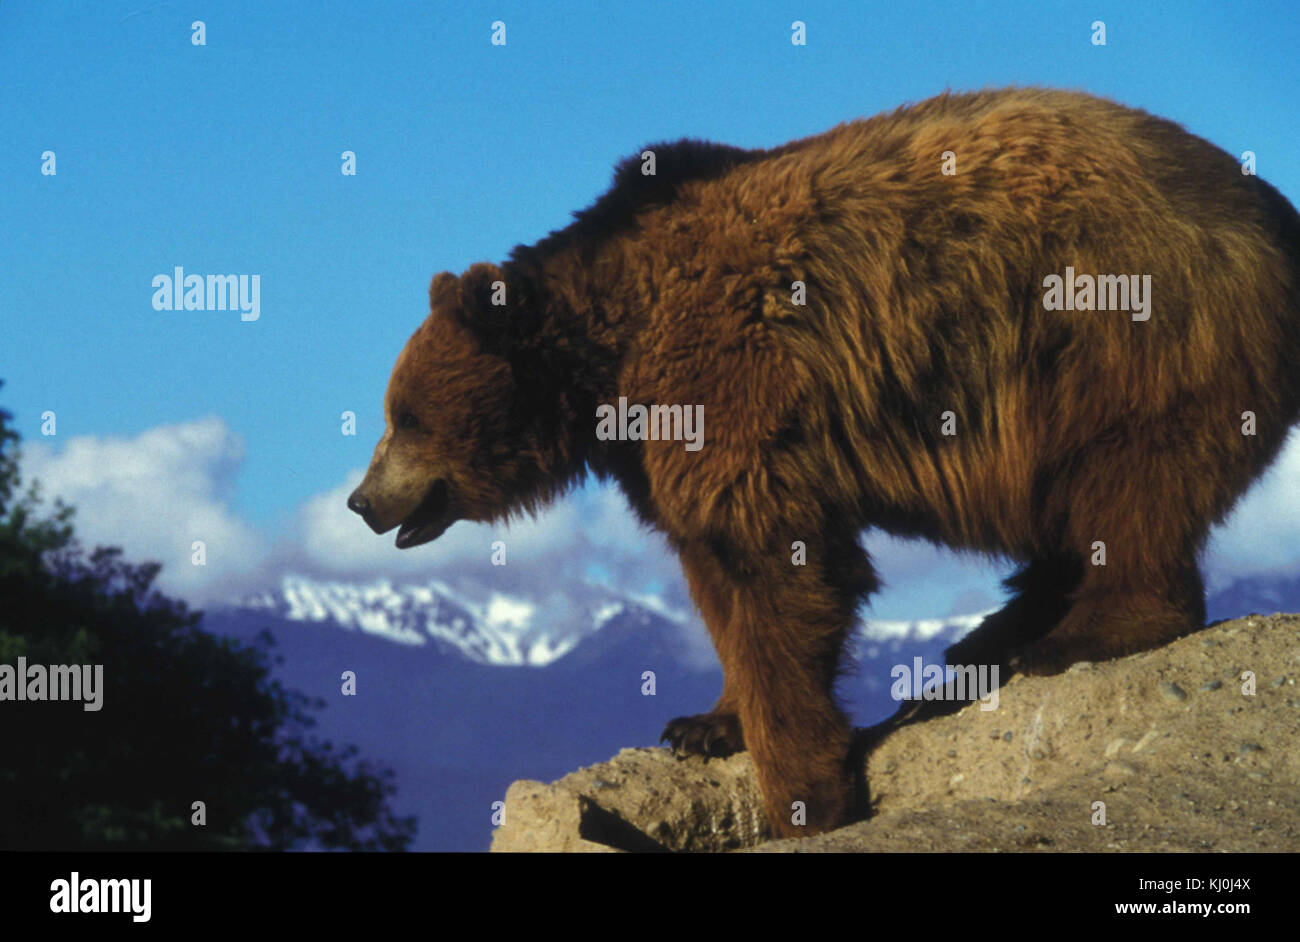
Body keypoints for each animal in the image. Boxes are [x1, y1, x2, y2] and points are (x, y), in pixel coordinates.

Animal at [348, 87, 1300, 840]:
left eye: (404, 417)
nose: (361, 501)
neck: (604, 358)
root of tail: (1271, 213)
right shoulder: (663, 441)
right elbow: (718, 580)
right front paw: (705, 724)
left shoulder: (729, 382)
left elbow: (780, 571)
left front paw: (805, 794)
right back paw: (983, 643)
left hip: (1120, 330)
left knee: (1127, 481)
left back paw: (1070, 637)